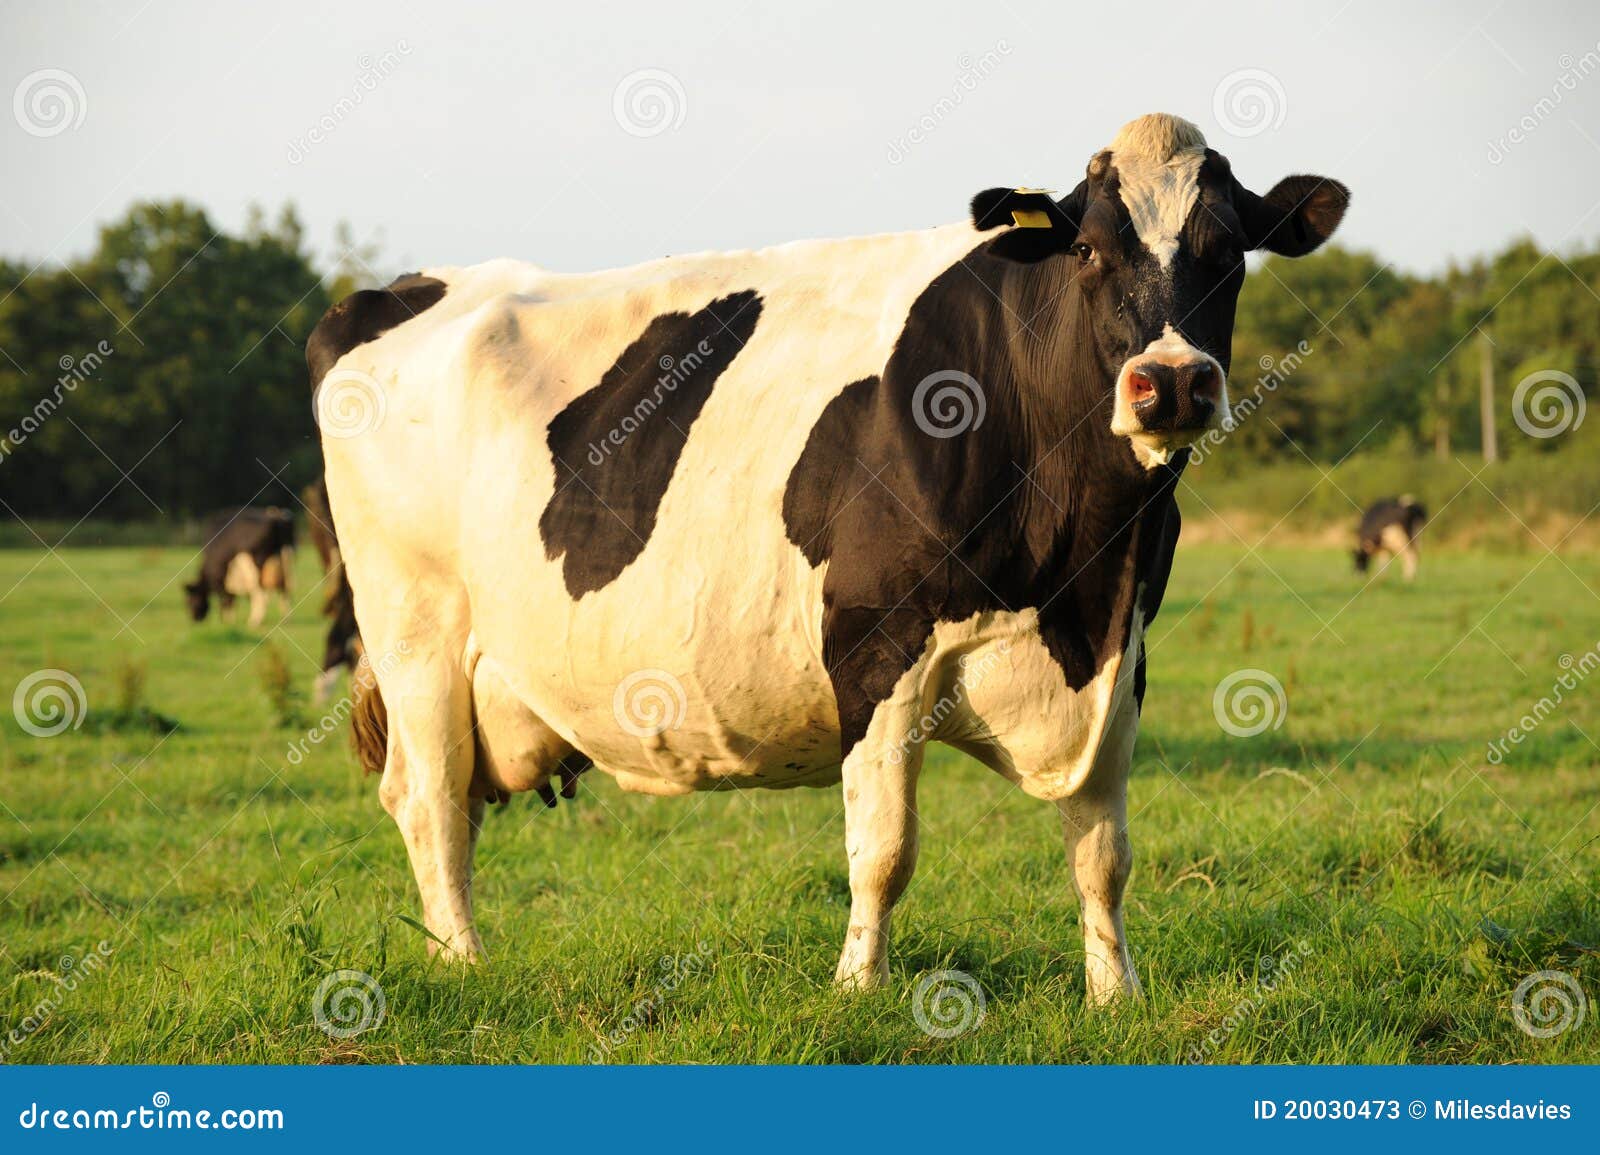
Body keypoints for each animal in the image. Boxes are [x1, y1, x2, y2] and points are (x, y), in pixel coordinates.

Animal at [312, 113, 1347, 1002]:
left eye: (1229, 252)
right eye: (1089, 248)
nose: (1170, 382)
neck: (1080, 564)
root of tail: (400, 289)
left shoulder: (1119, 650)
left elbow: (1102, 850)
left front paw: (1113, 994)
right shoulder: (875, 641)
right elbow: (883, 847)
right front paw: (859, 987)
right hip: (415, 631)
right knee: (430, 797)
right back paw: (461, 960)